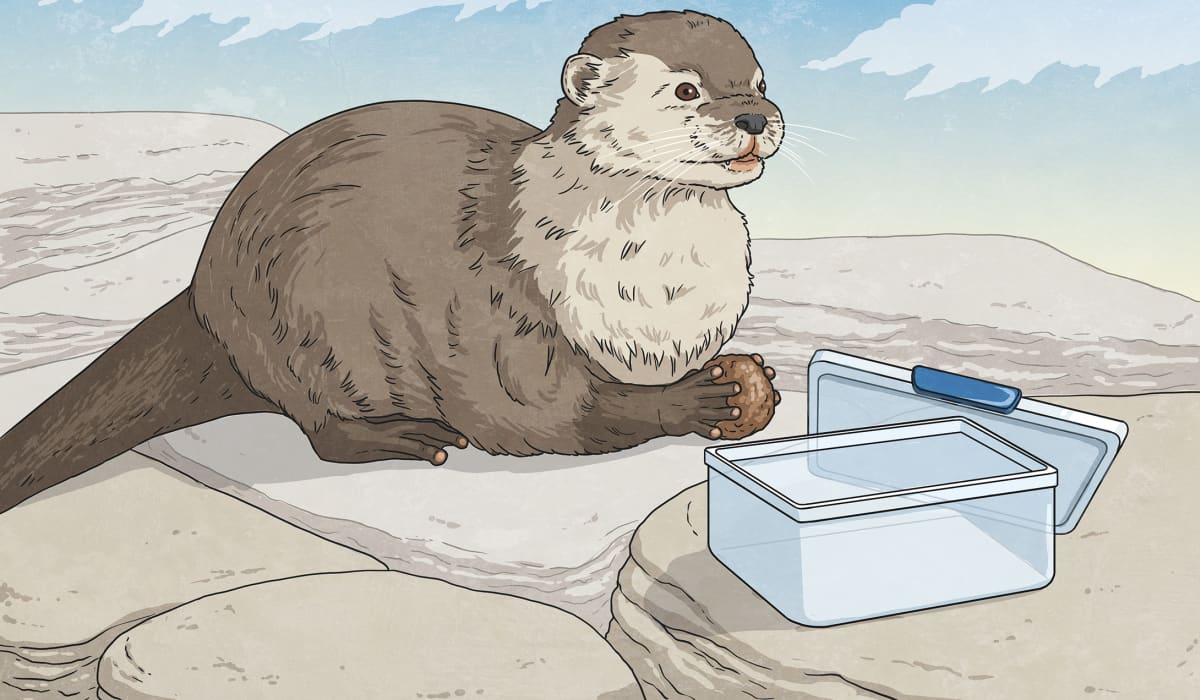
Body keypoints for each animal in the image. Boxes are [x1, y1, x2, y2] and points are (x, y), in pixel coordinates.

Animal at [0, 10, 784, 514]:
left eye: (759, 81)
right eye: (685, 89)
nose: (753, 117)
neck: (651, 285)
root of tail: (205, 295)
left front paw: (752, 375)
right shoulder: (503, 323)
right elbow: (556, 414)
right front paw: (699, 399)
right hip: (310, 320)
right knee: (319, 428)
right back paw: (406, 436)